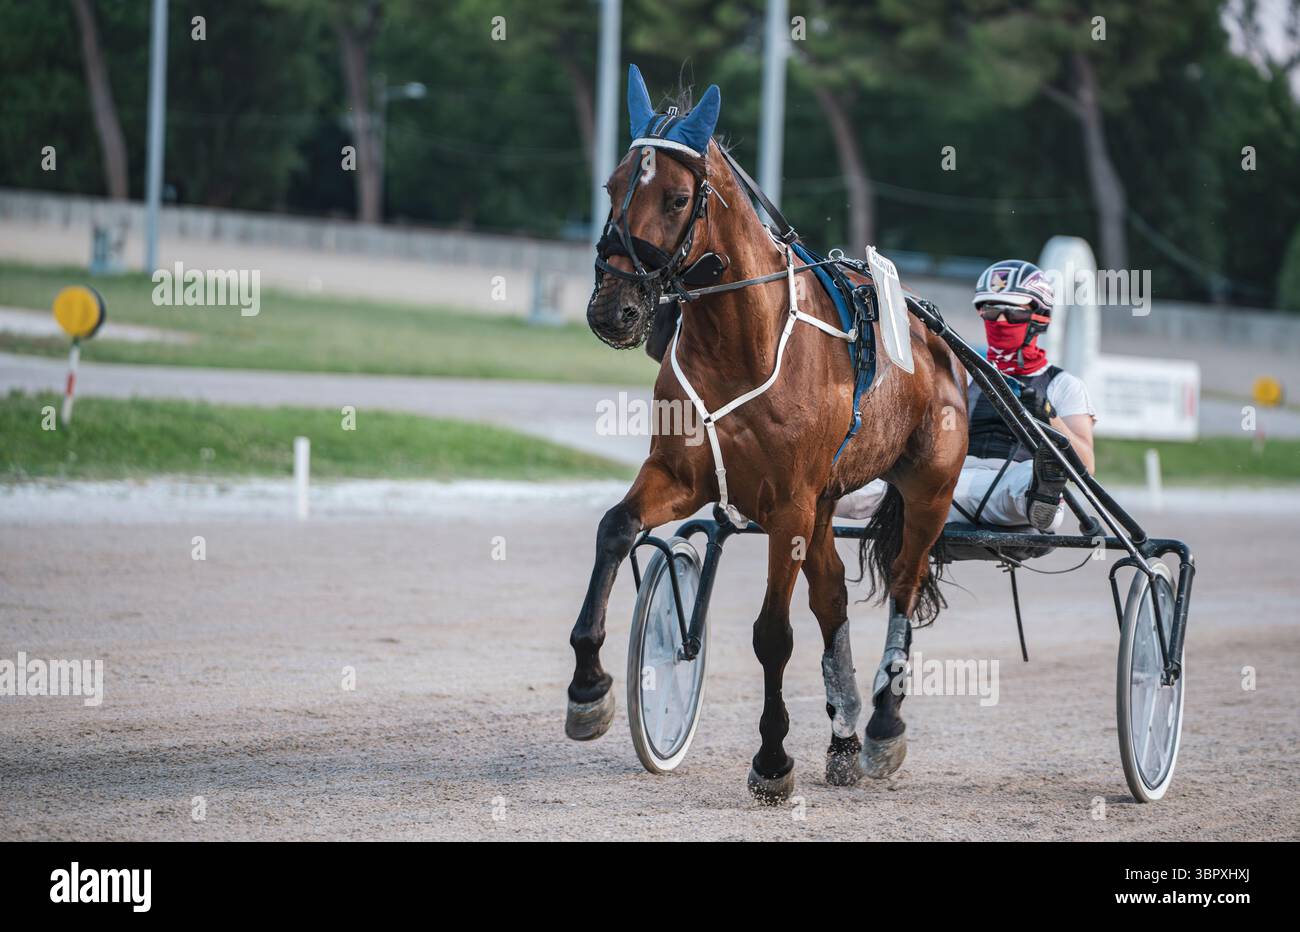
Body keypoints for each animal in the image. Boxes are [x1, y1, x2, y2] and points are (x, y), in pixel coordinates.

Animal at [567, 65, 969, 802]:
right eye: (612, 186)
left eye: (675, 197)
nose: (613, 308)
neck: (739, 343)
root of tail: (935, 337)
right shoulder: (682, 474)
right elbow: (615, 528)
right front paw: (588, 689)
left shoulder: (787, 503)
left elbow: (772, 635)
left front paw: (773, 759)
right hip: (826, 500)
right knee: (832, 595)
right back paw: (843, 740)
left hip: (925, 488)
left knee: (903, 584)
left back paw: (881, 728)